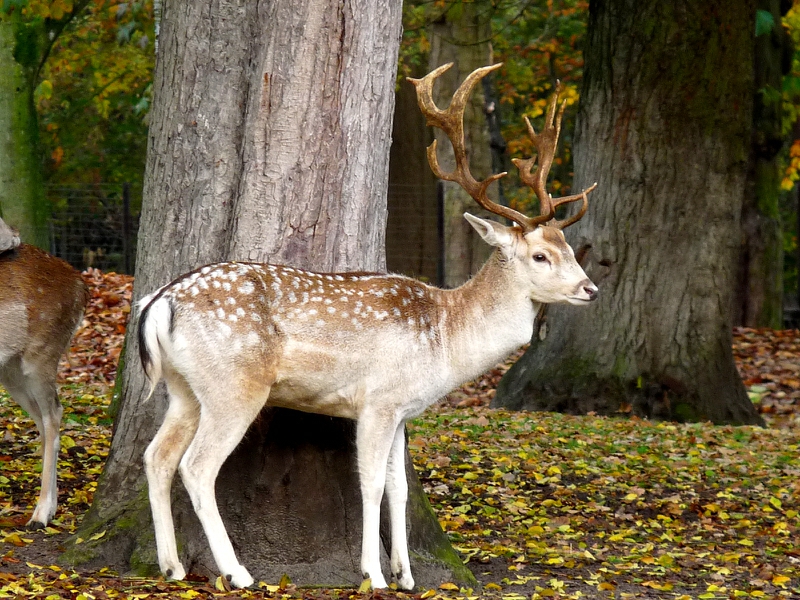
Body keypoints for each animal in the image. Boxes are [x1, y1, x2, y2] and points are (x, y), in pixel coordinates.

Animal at [0, 218, 89, 528]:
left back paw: (40, 514)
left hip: (41, 354)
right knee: (42, 417)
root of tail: (81, 285)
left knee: (53, 414)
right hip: (11, 370)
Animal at [137, 62, 598, 590]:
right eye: (540, 256)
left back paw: (171, 566)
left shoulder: (403, 409)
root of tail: (159, 302)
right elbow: (372, 484)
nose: (590, 289)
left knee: (157, 456)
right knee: (196, 466)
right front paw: (373, 575)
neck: (446, 337)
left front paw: (407, 575)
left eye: (568, 248)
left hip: (183, 387)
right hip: (234, 384)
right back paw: (238, 572)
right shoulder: (378, 400)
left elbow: (399, 488)